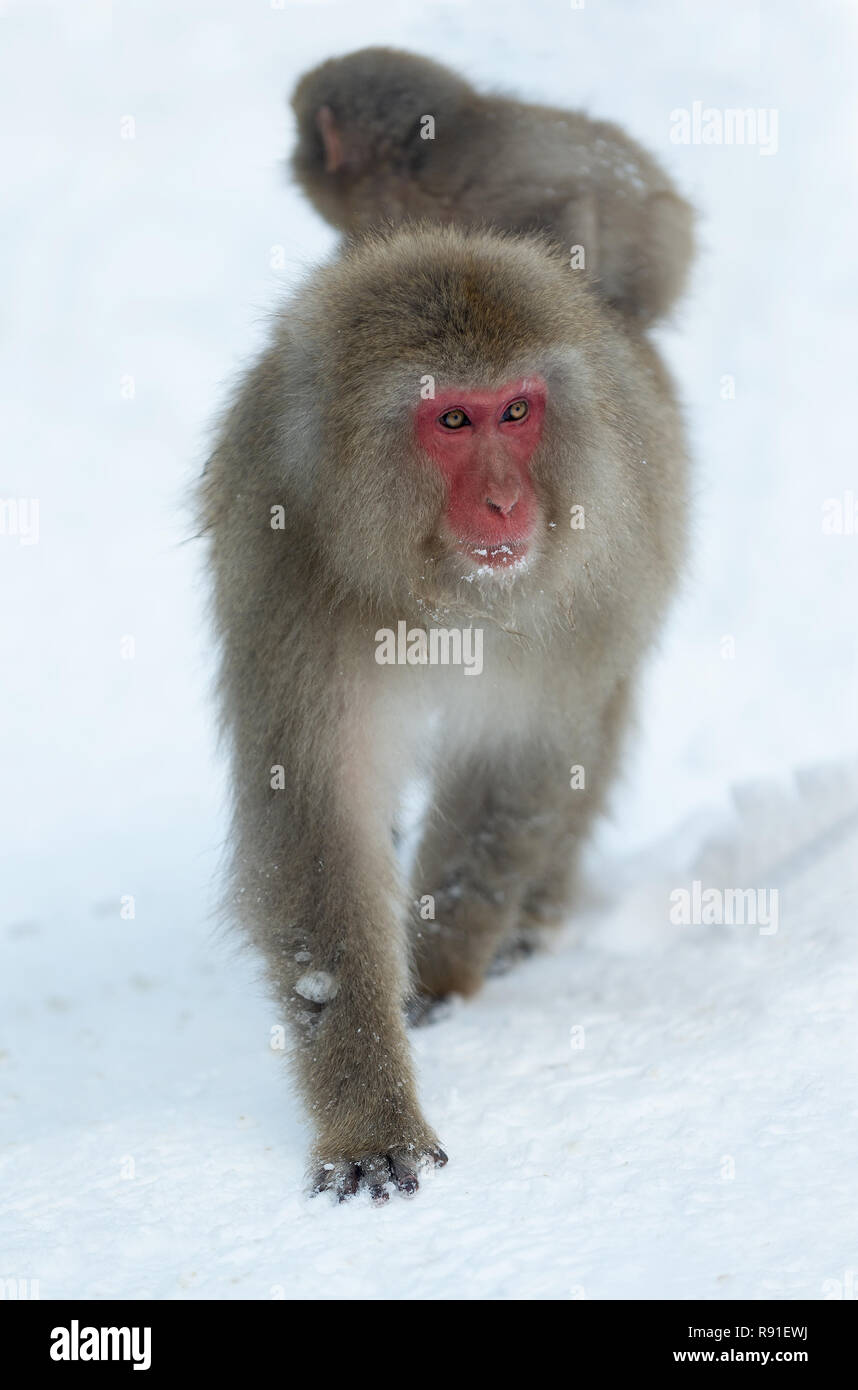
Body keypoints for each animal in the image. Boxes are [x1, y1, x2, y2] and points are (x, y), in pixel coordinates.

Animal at [199, 223, 689, 1203]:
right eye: (453, 421)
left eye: (517, 411)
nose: (506, 501)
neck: (436, 592)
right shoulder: (287, 564)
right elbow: (319, 815)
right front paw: (370, 1114)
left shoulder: (584, 578)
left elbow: (516, 757)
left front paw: (434, 980)